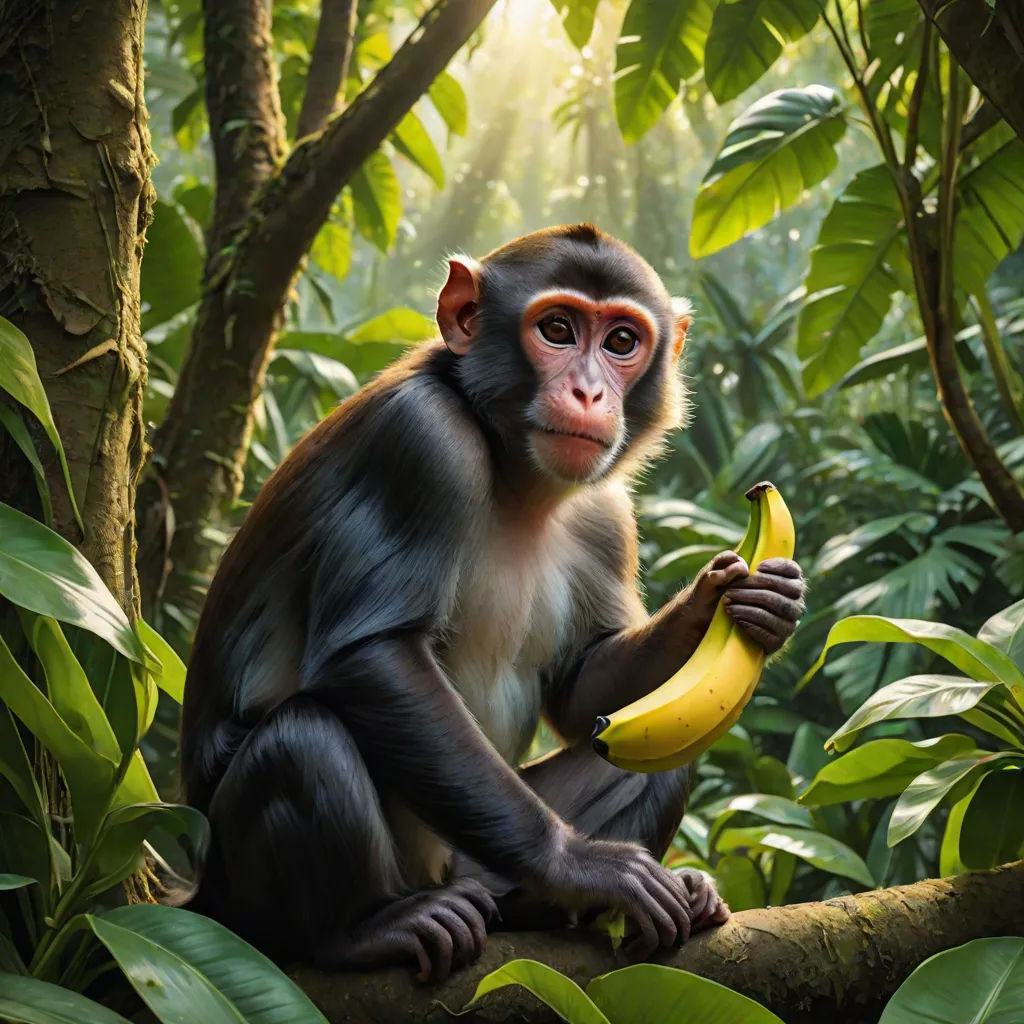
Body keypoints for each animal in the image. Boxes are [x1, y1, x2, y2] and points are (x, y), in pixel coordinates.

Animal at [179, 224, 806, 983]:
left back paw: (549, 910)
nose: (590, 393)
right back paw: (360, 932)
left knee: (657, 751)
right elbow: (372, 654)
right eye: (558, 329)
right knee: (303, 737)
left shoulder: (605, 511)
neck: (518, 479)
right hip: (248, 890)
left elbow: (583, 693)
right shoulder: (418, 442)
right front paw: (580, 866)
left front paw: (745, 600)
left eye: (622, 341)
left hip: (474, 864)